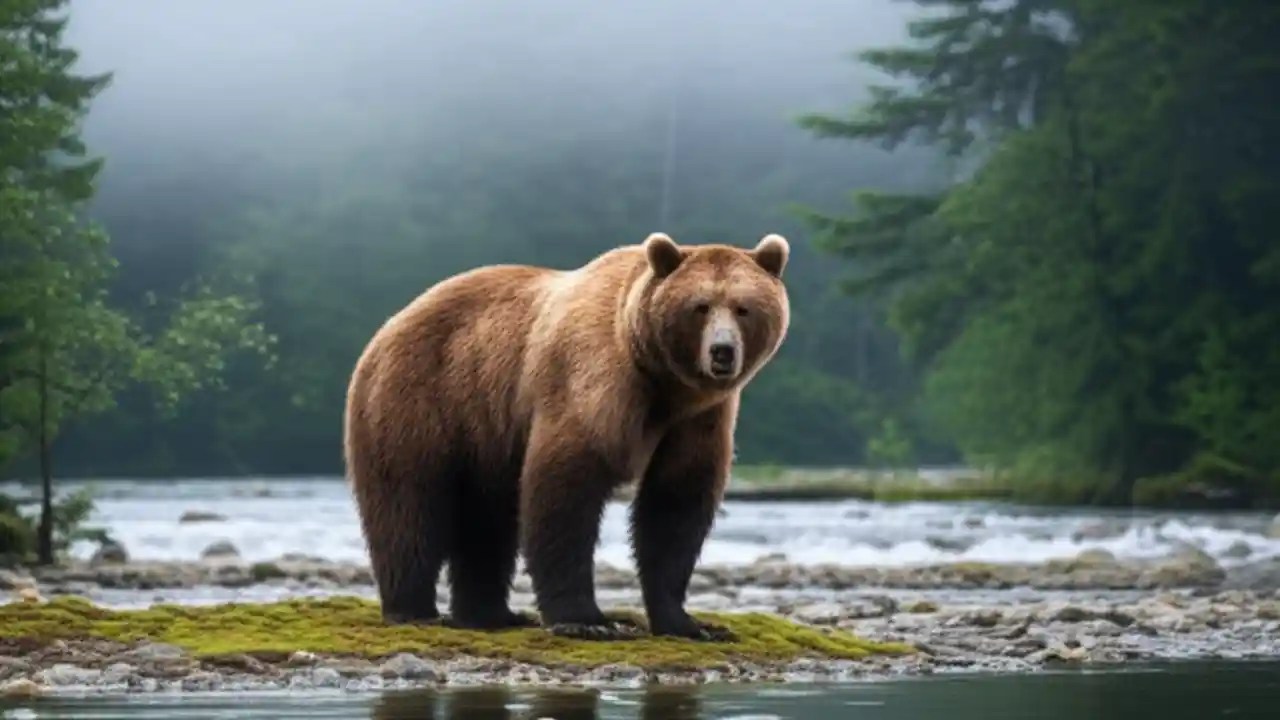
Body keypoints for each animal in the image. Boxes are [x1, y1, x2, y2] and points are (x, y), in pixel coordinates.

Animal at [343, 231, 790, 640]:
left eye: (743, 308)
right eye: (699, 307)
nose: (722, 351)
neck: (661, 381)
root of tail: (390, 324)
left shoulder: (699, 419)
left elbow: (676, 506)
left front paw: (691, 622)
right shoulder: (592, 380)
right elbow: (566, 490)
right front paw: (589, 621)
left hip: (485, 430)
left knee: (488, 519)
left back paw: (491, 614)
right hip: (420, 399)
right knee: (407, 504)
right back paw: (412, 608)